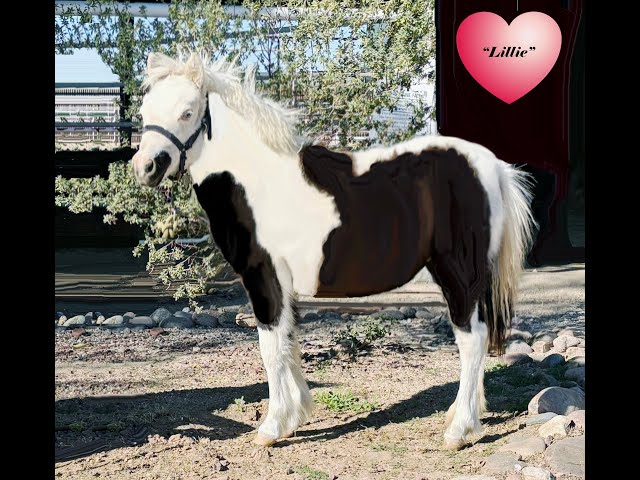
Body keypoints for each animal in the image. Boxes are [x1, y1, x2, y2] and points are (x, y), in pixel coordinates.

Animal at [132, 52, 536, 450]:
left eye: (187, 112)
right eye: (145, 110)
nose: (146, 167)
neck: (259, 181)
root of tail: (490, 165)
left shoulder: (263, 276)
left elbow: (270, 347)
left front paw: (271, 427)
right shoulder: (283, 285)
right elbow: (289, 341)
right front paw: (294, 417)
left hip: (457, 273)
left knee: (472, 340)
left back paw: (459, 431)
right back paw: (464, 417)